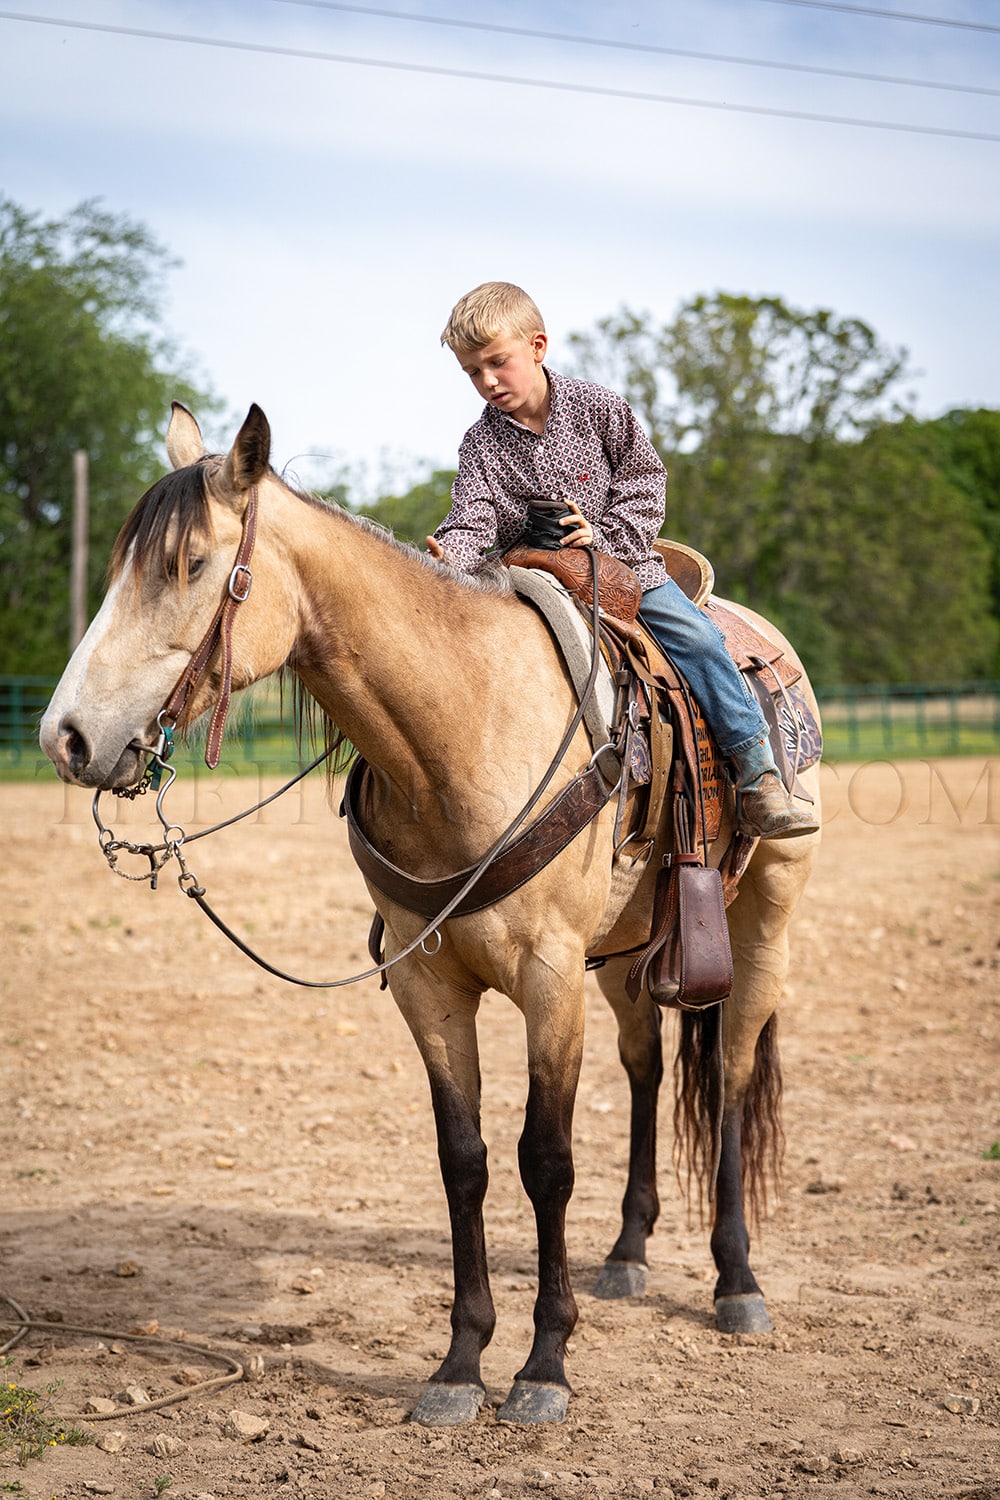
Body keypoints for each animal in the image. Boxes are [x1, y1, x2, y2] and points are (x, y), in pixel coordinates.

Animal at [39, 403, 821, 1427]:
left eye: (192, 564)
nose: (65, 737)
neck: (462, 727)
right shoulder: (427, 981)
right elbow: (464, 1159)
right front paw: (459, 1366)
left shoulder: (548, 980)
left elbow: (545, 1159)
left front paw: (543, 1366)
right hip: (626, 953)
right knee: (647, 1065)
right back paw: (627, 1255)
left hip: (765, 919)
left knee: (730, 1072)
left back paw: (737, 1282)